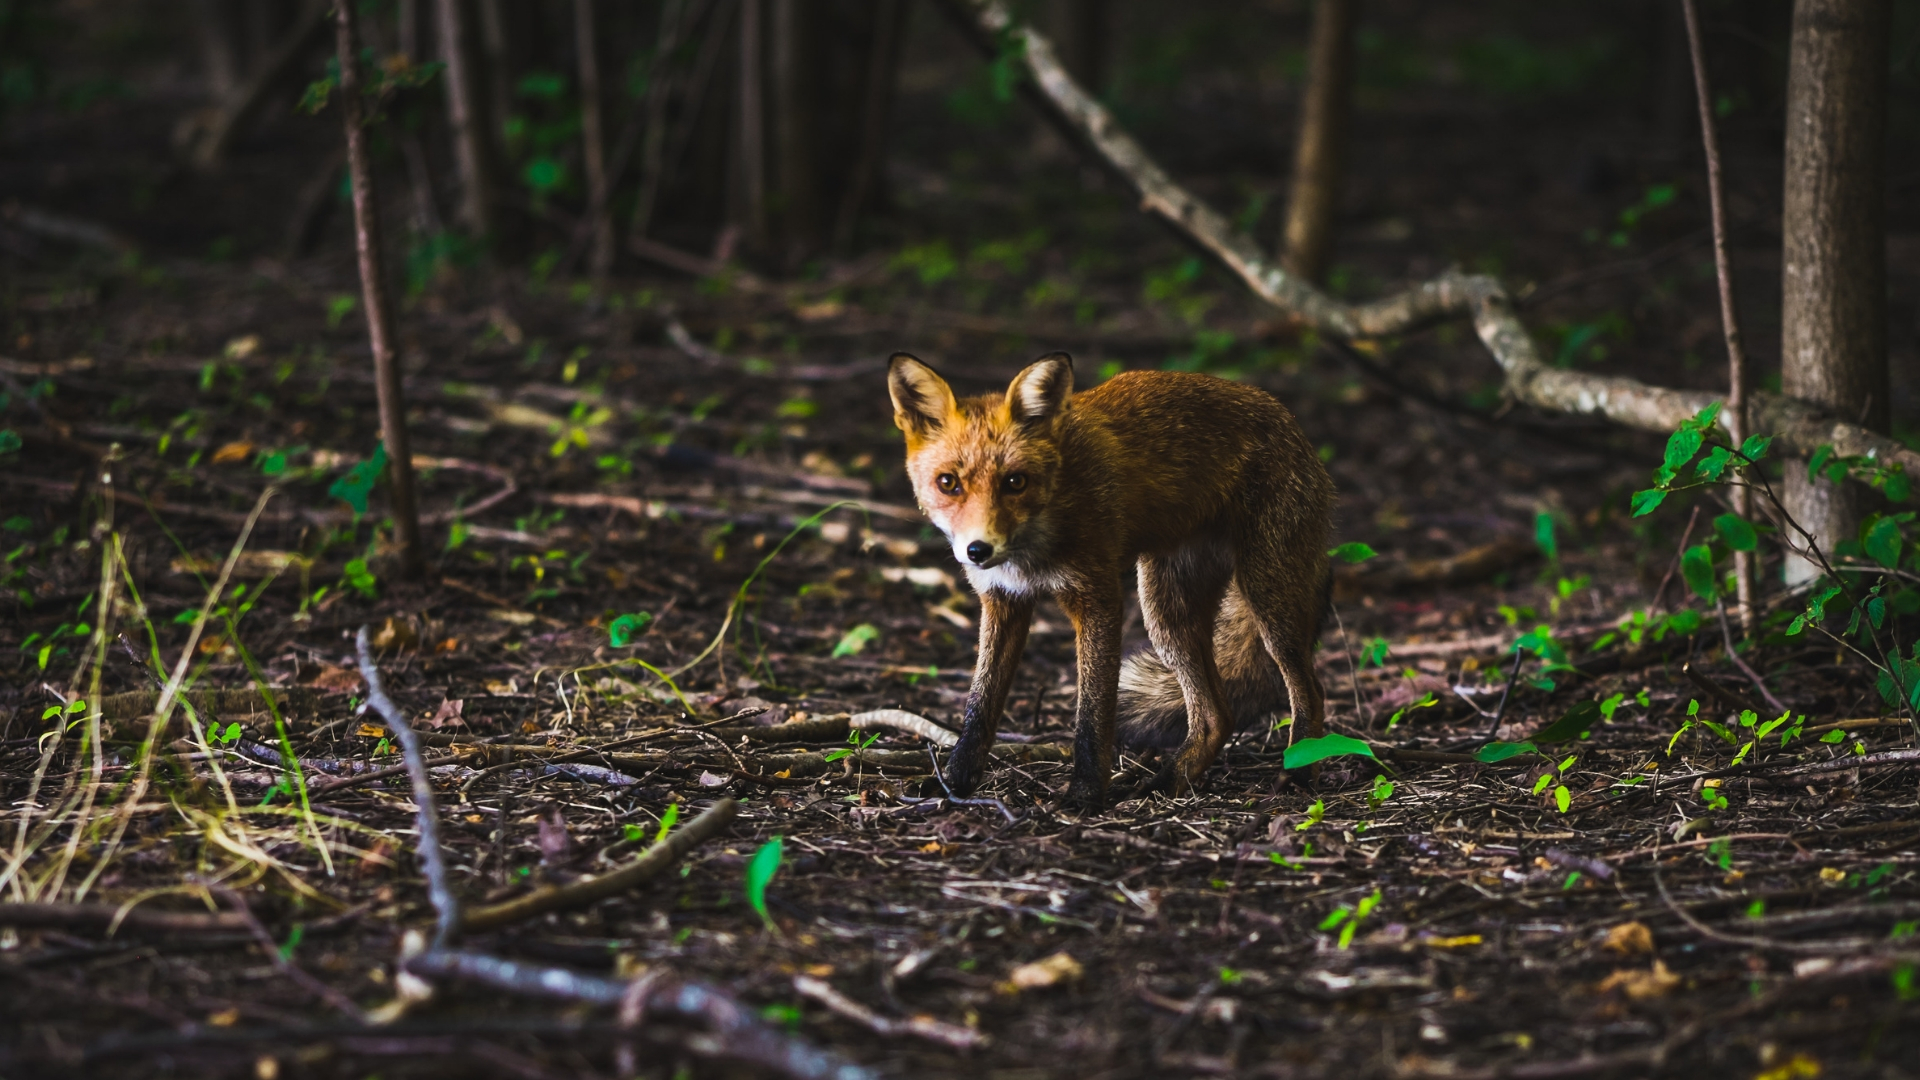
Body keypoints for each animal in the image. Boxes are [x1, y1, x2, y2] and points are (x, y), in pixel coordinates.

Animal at [888, 351, 1335, 807]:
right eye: (948, 483)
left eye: (1015, 482)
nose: (979, 551)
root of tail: (1287, 417)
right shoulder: (1003, 602)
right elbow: (979, 706)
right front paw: (954, 783)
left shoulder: (1096, 598)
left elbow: (1093, 714)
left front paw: (1084, 794)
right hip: (1168, 616)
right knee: (1216, 716)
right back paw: (1168, 782)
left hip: (1266, 599)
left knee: (1311, 691)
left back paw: (1299, 776)